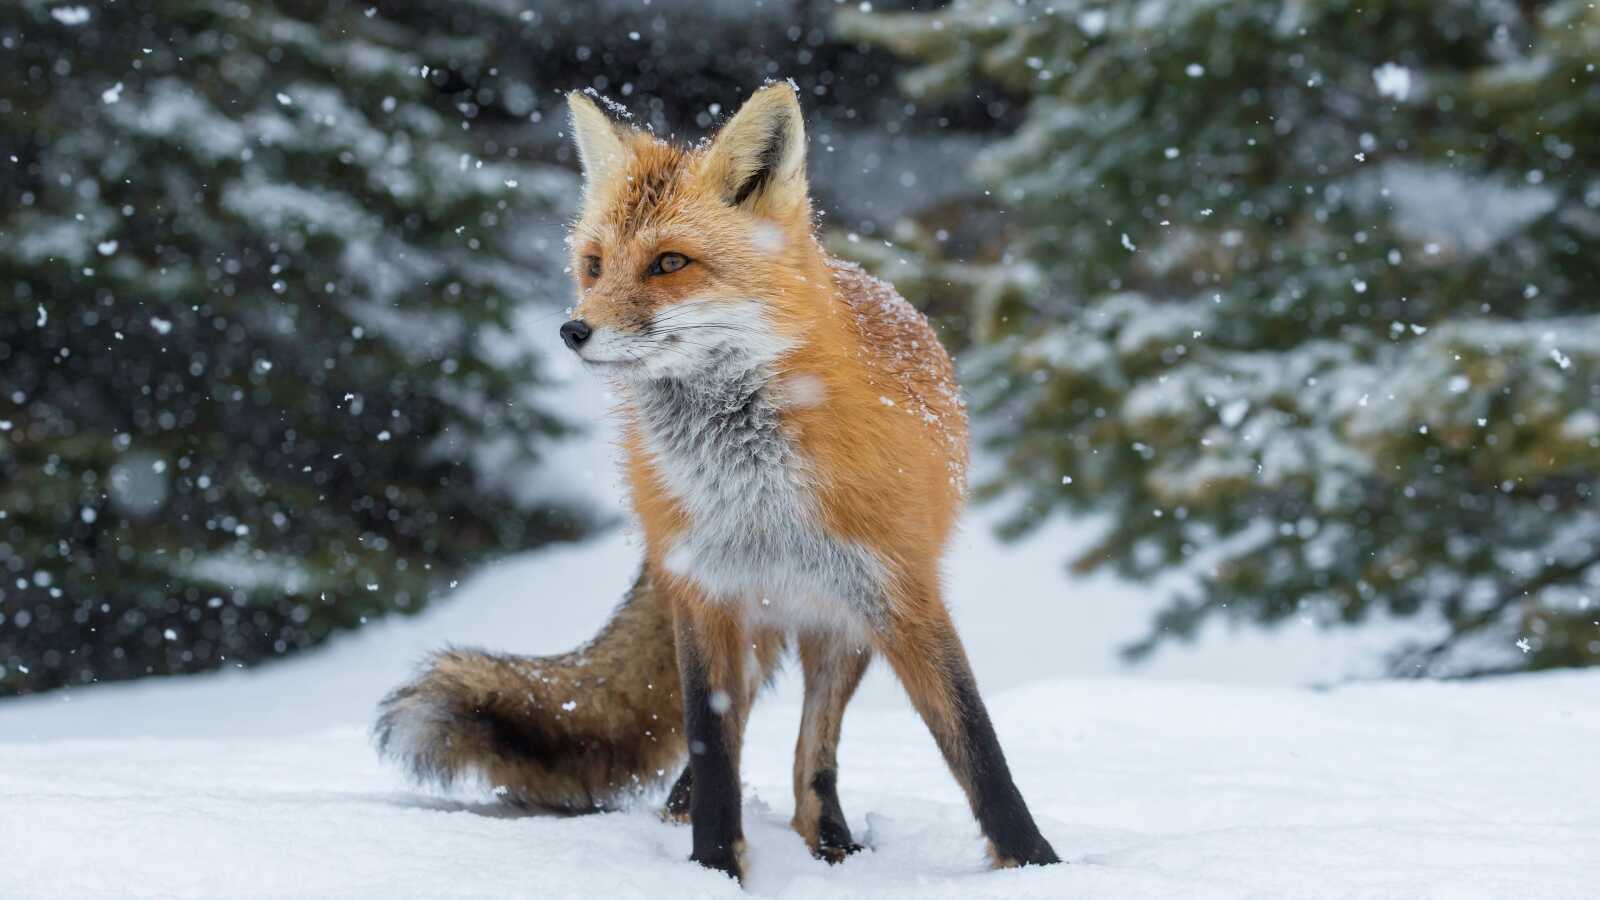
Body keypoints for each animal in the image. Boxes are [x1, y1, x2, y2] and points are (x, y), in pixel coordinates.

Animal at [375, 82, 1060, 882]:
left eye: (670, 262)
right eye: (594, 265)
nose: (572, 331)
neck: (754, 493)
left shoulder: (901, 594)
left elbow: (977, 745)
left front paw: (1038, 864)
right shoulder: (704, 593)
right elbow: (711, 744)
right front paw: (713, 867)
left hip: (838, 628)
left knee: (813, 755)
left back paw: (832, 843)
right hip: (745, 619)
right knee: (737, 746)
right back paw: (691, 817)